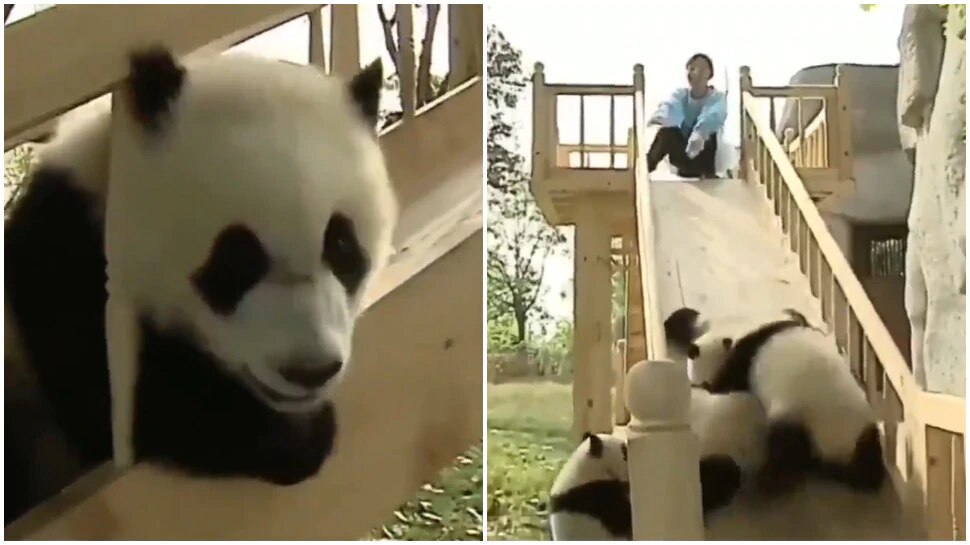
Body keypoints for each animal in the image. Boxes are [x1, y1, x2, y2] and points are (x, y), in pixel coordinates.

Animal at [4, 46, 397, 523]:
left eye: (341, 247)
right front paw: (297, 440)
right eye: (237, 259)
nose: (309, 370)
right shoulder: (61, 252)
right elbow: (123, 401)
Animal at [705, 309, 886, 496]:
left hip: (798, 413)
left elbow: (729, 376)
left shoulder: (750, 350)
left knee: (786, 450)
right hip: (863, 431)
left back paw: (770, 481)